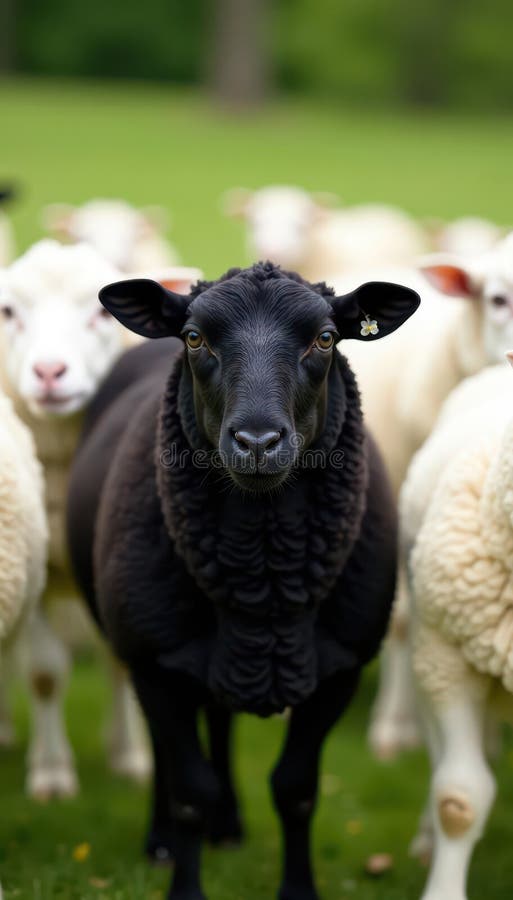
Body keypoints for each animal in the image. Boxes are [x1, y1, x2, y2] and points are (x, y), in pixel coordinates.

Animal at [0, 239, 202, 797]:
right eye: (8, 312)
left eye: (101, 313)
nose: (50, 373)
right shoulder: (37, 573)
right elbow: (45, 674)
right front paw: (51, 774)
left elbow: (119, 660)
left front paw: (132, 758)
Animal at [67, 261, 420, 898]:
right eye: (194, 338)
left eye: (326, 339)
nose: (257, 442)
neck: (265, 572)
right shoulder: (156, 665)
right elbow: (189, 791)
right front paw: (185, 883)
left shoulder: (342, 668)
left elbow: (296, 790)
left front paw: (298, 889)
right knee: (167, 750)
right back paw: (162, 840)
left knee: (222, 719)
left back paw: (229, 825)